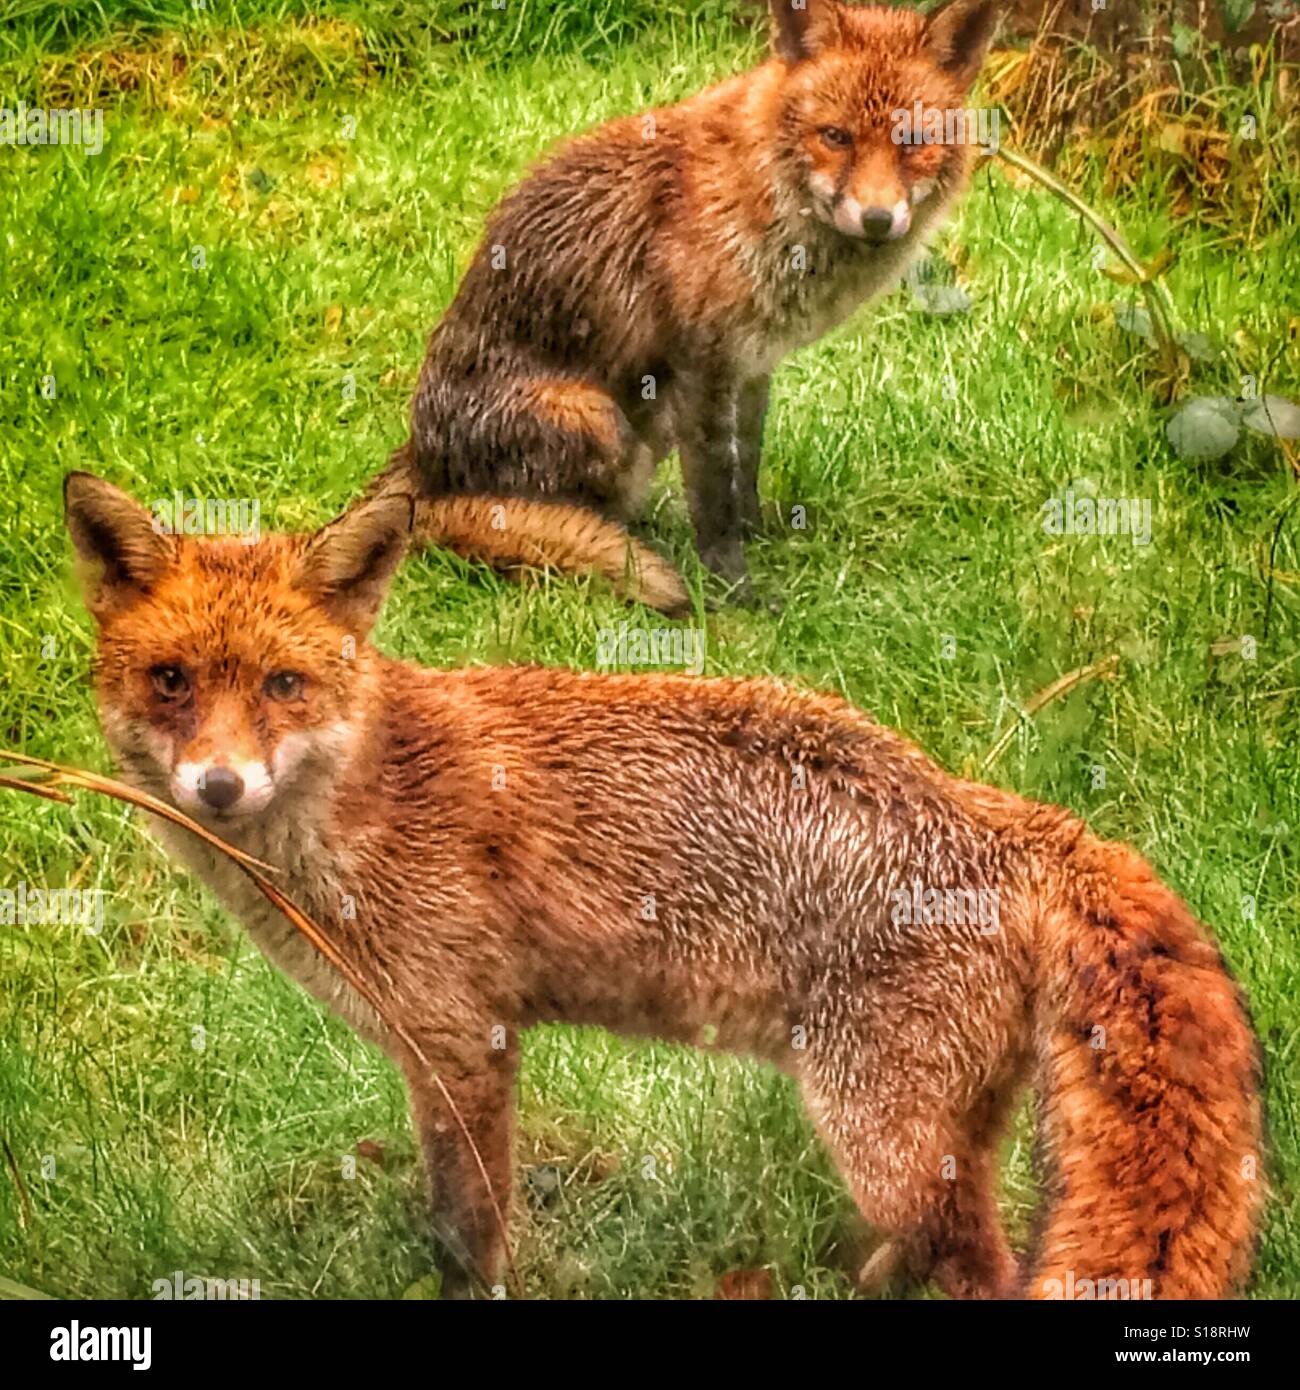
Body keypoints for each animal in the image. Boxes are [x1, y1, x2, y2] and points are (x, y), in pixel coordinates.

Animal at [65, 470, 1263, 1301]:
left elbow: (468, 1235)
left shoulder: (463, 1044)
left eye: (283, 684)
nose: (219, 786)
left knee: (985, 1269)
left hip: (878, 1136)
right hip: (938, 1140)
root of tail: (1003, 816)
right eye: (171, 681)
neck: (361, 809)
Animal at [388, 0, 999, 612]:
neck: (764, 204)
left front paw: (757, 533)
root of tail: (423, 468)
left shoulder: (752, 365)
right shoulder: (701, 365)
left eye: (913, 140)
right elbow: (713, 495)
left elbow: (745, 466)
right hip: (601, 420)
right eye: (836, 136)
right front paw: (734, 588)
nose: (877, 219)